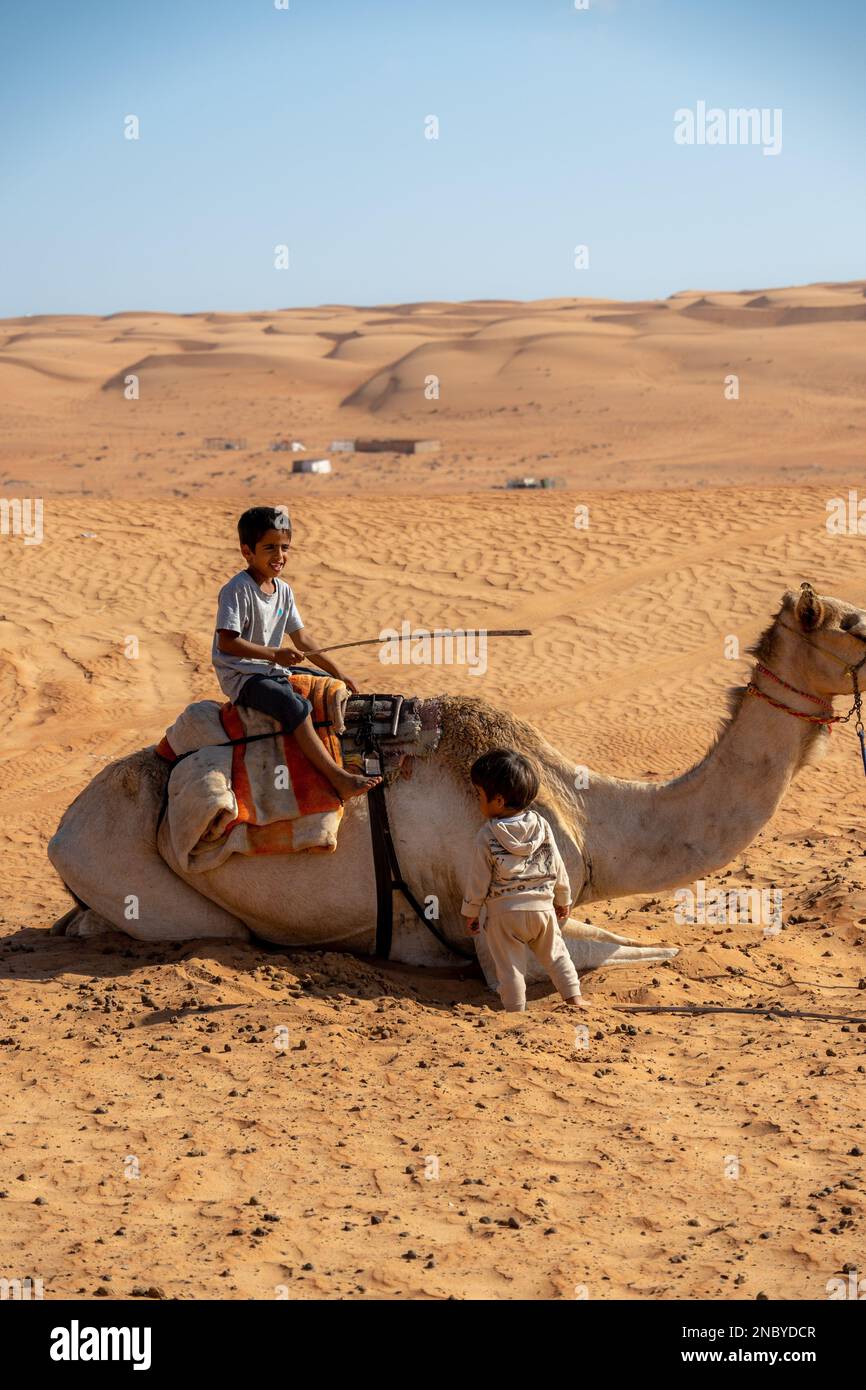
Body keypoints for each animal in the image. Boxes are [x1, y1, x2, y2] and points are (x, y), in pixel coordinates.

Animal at [47, 586, 866, 993]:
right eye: (854, 623)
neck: (592, 816)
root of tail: (61, 829)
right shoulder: (492, 923)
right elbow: (610, 952)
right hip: (150, 890)